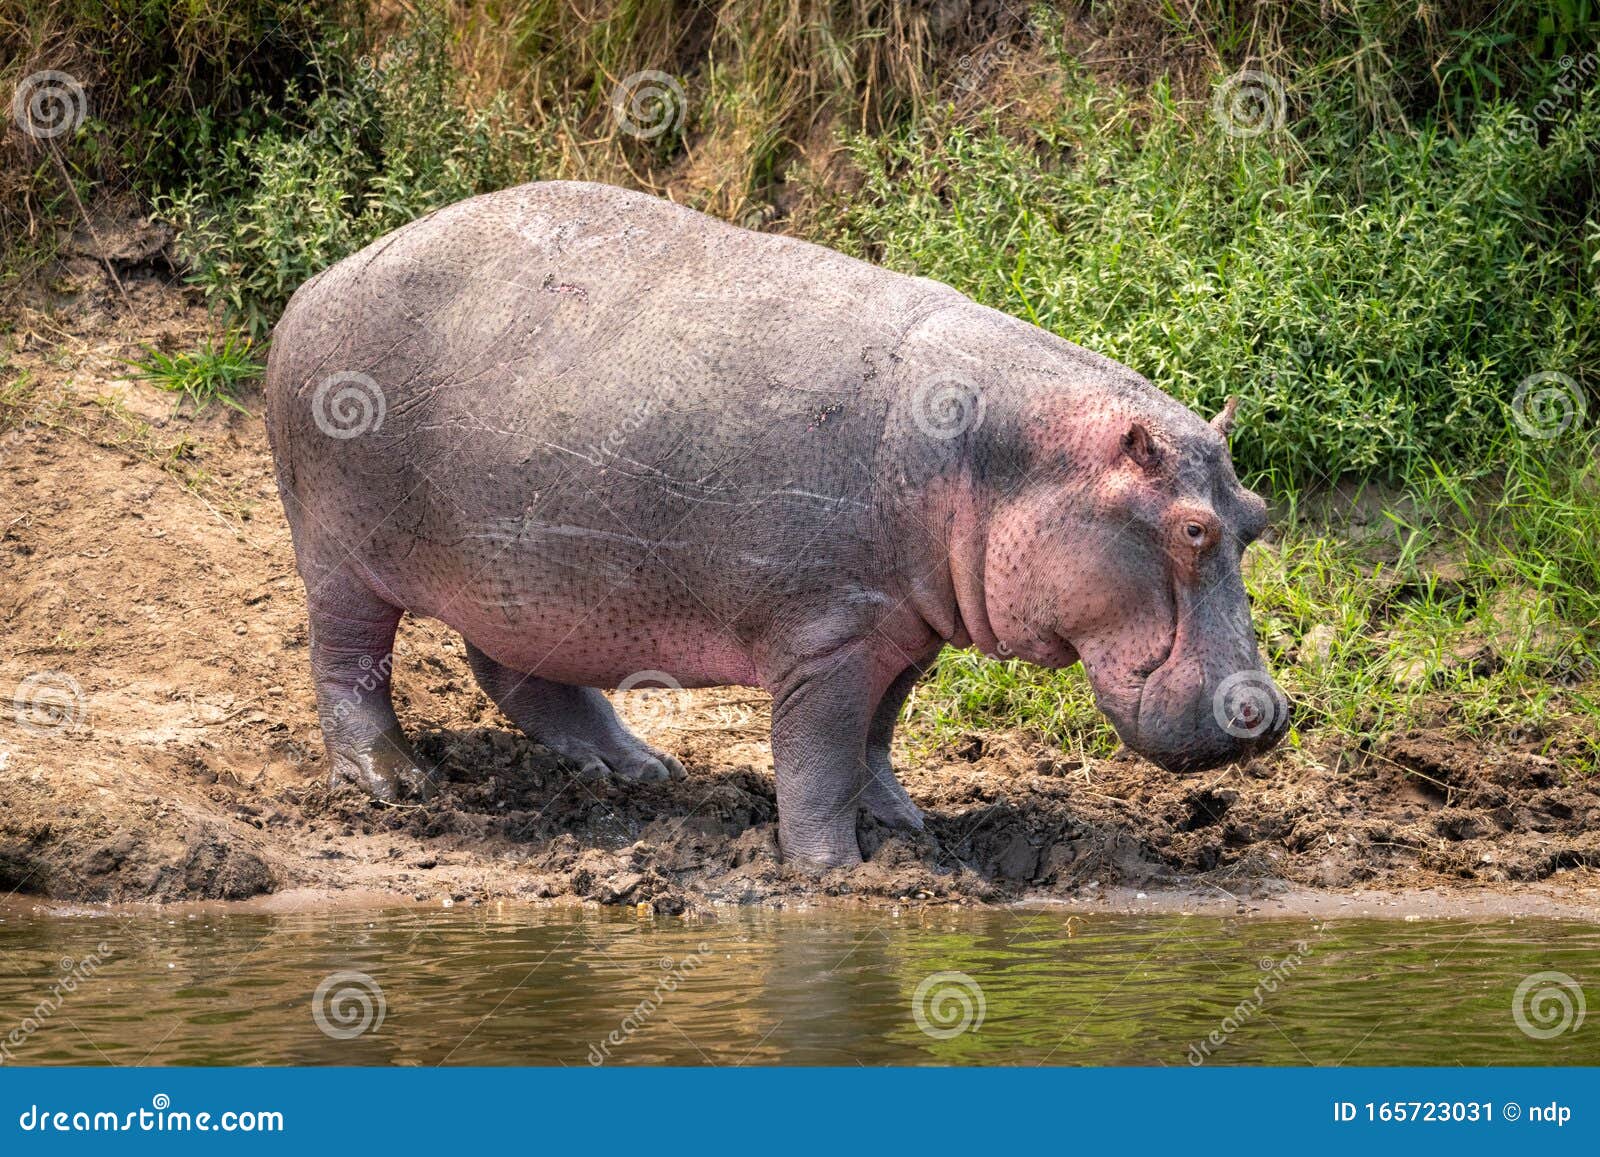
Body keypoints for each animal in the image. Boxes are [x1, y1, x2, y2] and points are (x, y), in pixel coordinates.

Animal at [264, 180, 1288, 868]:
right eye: (1191, 530)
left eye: (1257, 516)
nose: (1268, 712)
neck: (1007, 456)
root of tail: (318, 281)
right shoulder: (827, 636)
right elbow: (822, 755)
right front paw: (834, 870)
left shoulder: (901, 632)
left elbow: (877, 738)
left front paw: (906, 827)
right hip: (342, 552)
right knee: (347, 659)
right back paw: (394, 782)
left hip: (526, 573)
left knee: (515, 670)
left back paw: (642, 770)